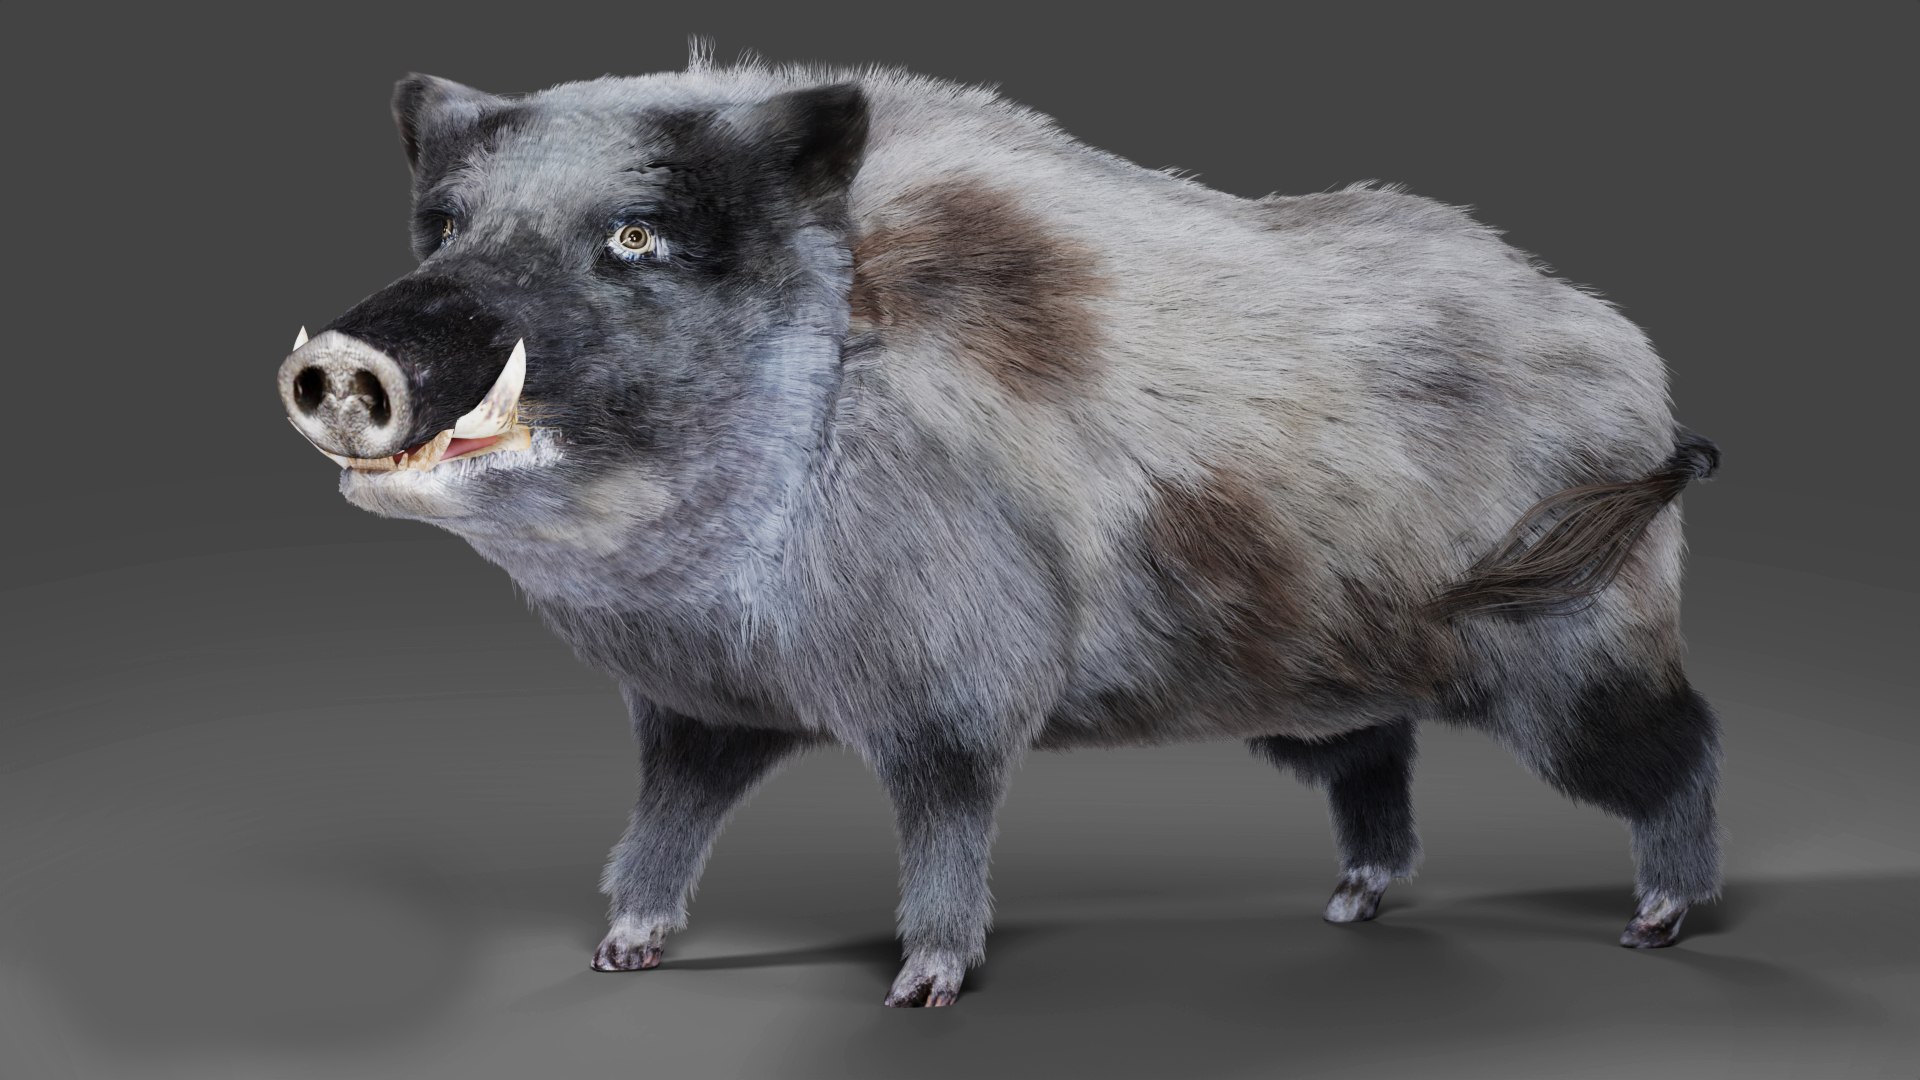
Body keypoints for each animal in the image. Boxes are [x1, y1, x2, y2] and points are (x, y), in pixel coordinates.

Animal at [276, 47, 1722, 1007]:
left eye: (634, 236)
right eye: (444, 228)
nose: (343, 360)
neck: (713, 601)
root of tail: (1635, 365)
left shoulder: (956, 682)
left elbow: (946, 813)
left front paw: (921, 987)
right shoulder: (697, 709)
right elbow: (665, 822)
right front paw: (619, 956)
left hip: (1576, 646)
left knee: (1681, 744)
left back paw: (1662, 923)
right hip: (1326, 691)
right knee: (1378, 768)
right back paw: (1349, 905)